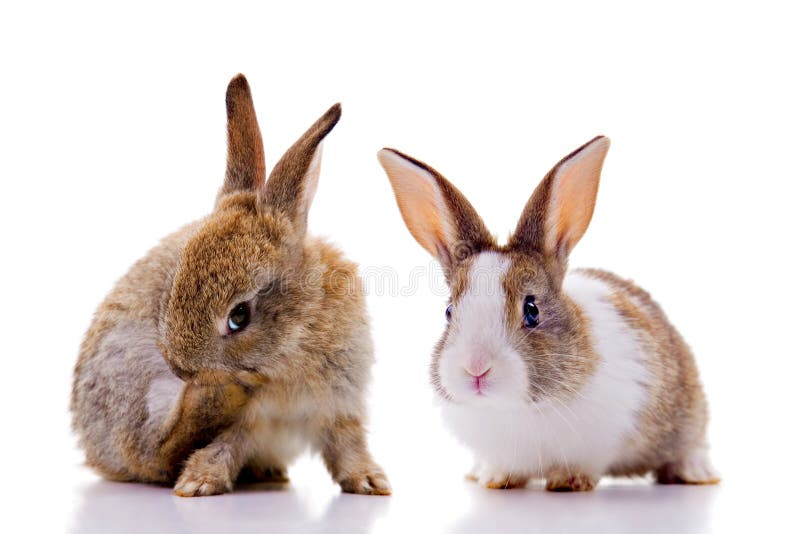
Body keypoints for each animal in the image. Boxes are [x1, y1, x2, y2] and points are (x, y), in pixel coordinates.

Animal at [71, 74, 390, 497]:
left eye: (239, 316)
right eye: (174, 284)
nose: (182, 369)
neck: (294, 338)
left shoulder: (338, 407)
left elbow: (347, 446)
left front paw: (370, 482)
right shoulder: (244, 424)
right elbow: (222, 446)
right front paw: (197, 484)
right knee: (158, 451)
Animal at [377, 136, 719, 491]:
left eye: (531, 310)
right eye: (449, 311)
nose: (476, 369)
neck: (513, 408)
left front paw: (569, 480)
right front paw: (495, 478)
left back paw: (695, 472)